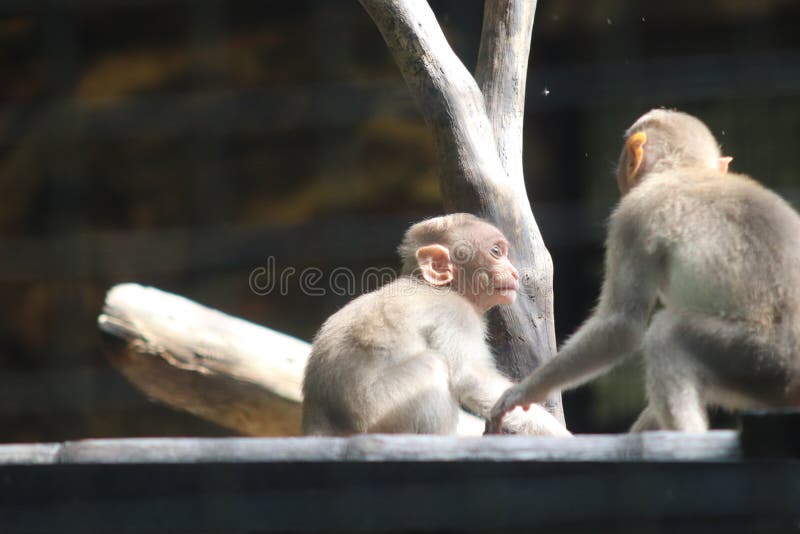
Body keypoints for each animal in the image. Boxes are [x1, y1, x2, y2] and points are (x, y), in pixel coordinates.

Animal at [302, 213, 571, 437]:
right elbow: (471, 378)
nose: (514, 272)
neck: (439, 286)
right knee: (431, 364)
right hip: (378, 413)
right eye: (496, 252)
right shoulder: (457, 314)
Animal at [488, 108, 800, 433]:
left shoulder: (631, 218)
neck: (681, 171)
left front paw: (525, 391)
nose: (620, 174)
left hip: (765, 361)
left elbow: (622, 325)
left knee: (666, 335)